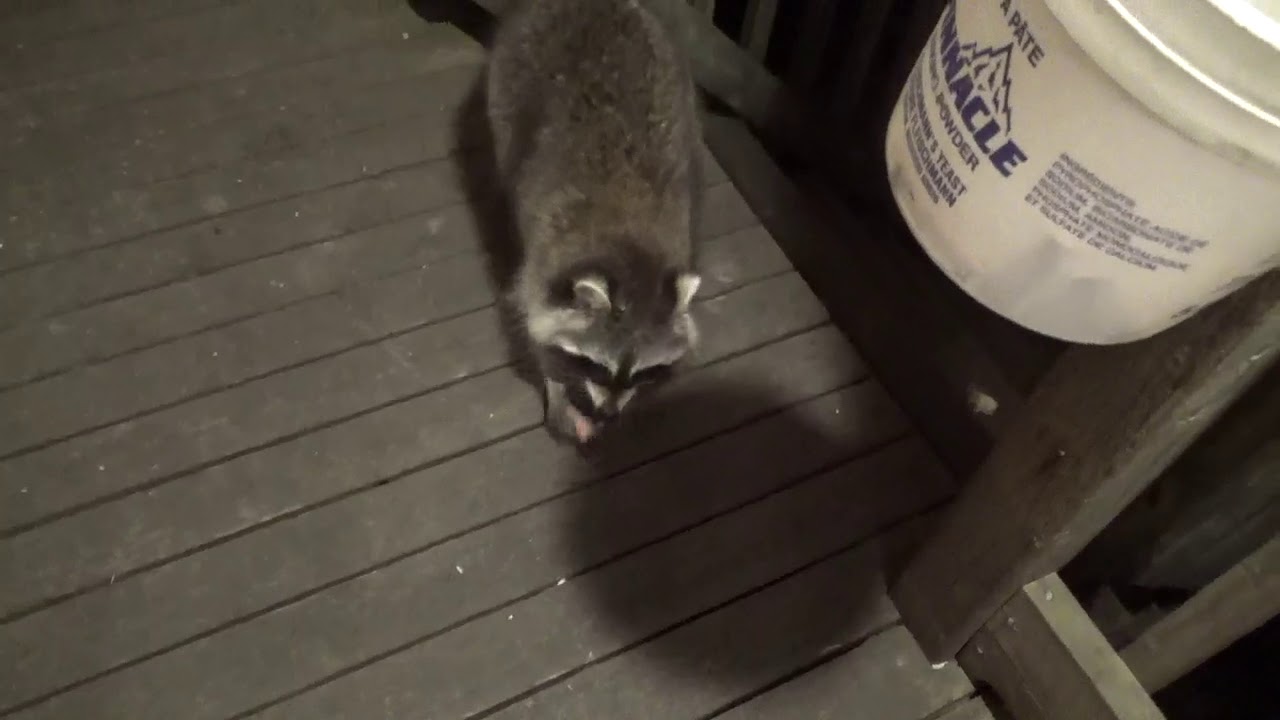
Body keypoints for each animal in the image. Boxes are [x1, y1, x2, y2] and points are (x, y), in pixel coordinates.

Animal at [486, 0, 703, 444]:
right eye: (596, 365)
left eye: (642, 371)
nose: (608, 414)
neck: (633, 258)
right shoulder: (543, 264)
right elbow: (535, 326)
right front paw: (557, 387)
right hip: (507, 80)